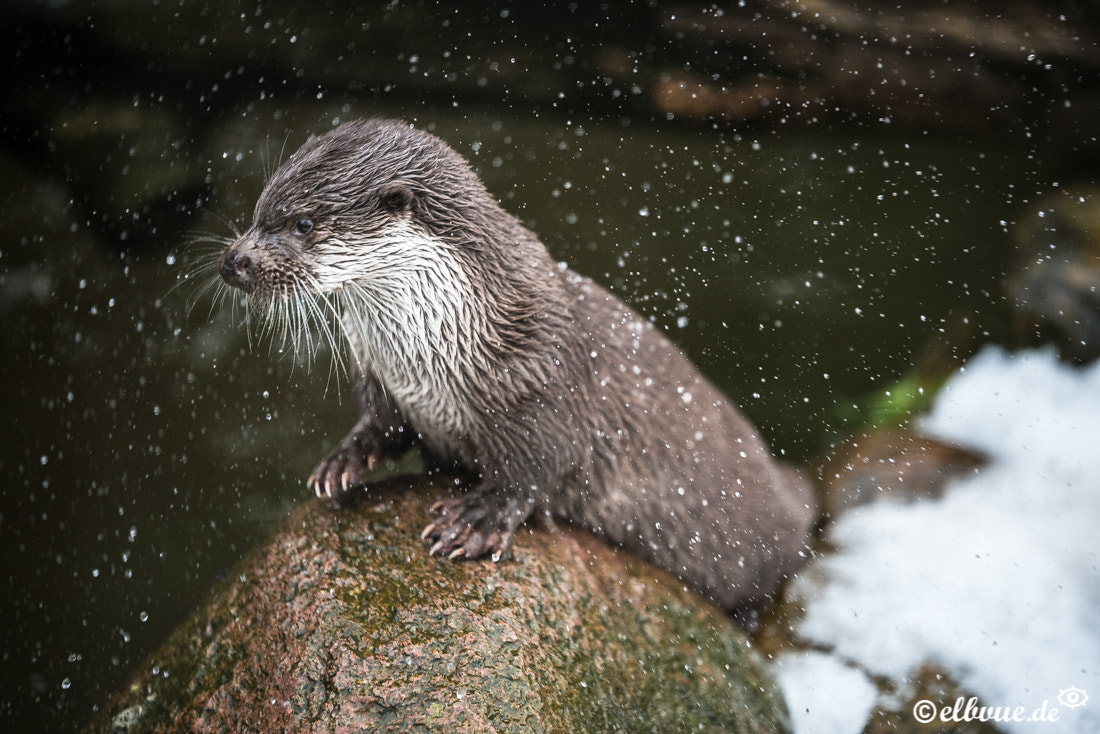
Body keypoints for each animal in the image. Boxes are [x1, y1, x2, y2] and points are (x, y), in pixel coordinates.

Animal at [218, 118, 816, 610]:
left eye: (303, 223)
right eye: (259, 210)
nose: (234, 261)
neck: (437, 352)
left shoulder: (540, 382)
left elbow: (537, 465)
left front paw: (476, 519)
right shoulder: (380, 377)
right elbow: (380, 425)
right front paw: (344, 459)